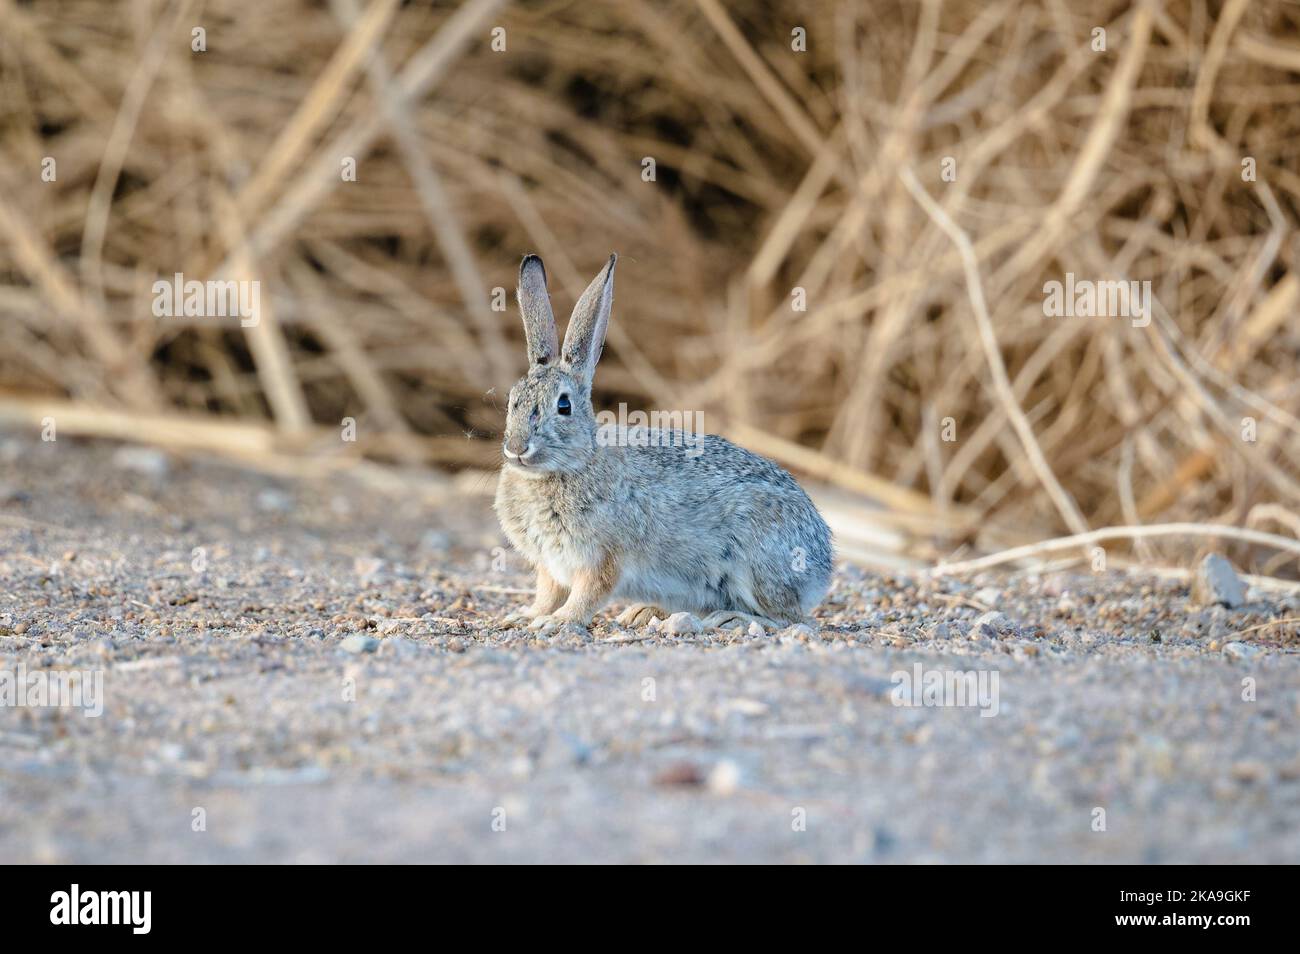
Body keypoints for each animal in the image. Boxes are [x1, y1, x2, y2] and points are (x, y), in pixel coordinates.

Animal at [494, 253, 833, 631]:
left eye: (563, 406)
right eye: (511, 401)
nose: (517, 448)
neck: (572, 464)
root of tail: (822, 564)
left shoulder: (603, 558)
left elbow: (588, 594)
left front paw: (557, 621)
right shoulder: (549, 566)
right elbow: (547, 593)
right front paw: (526, 615)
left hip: (758, 564)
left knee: (792, 619)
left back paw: (728, 618)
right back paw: (646, 612)